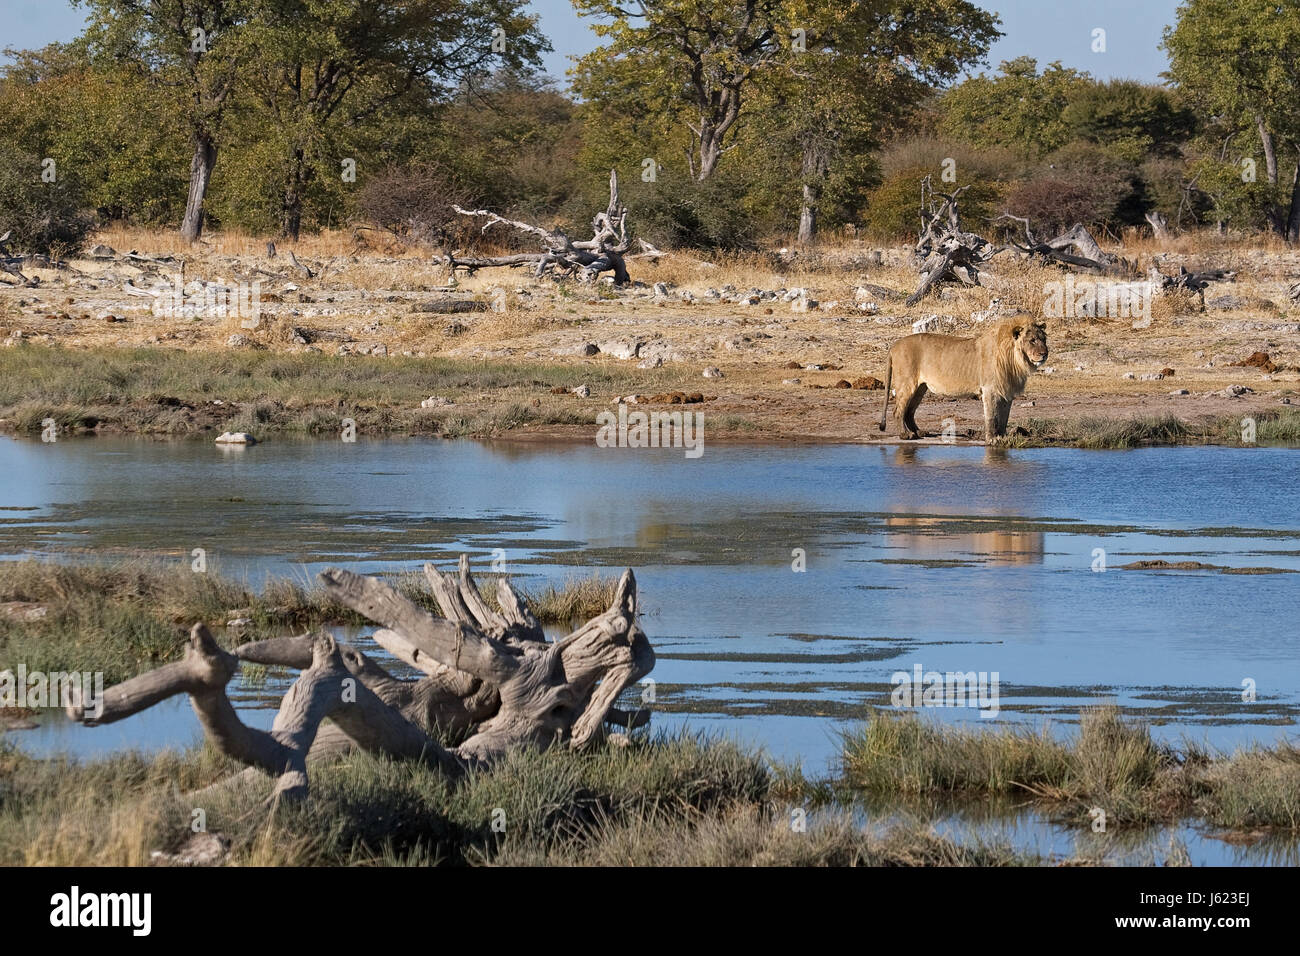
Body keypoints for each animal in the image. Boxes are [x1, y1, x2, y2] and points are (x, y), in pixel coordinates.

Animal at [877, 317, 1048, 442]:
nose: (1044, 354)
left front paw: (1002, 436)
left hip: (921, 387)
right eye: (1032, 340)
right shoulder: (990, 389)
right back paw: (905, 435)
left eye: (1043, 339)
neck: (1015, 360)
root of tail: (894, 345)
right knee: (898, 410)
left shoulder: (1006, 391)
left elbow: (1003, 418)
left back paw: (919, 432)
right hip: (907, 383)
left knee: (909, 411)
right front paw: (992, 440)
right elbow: (992, 417)